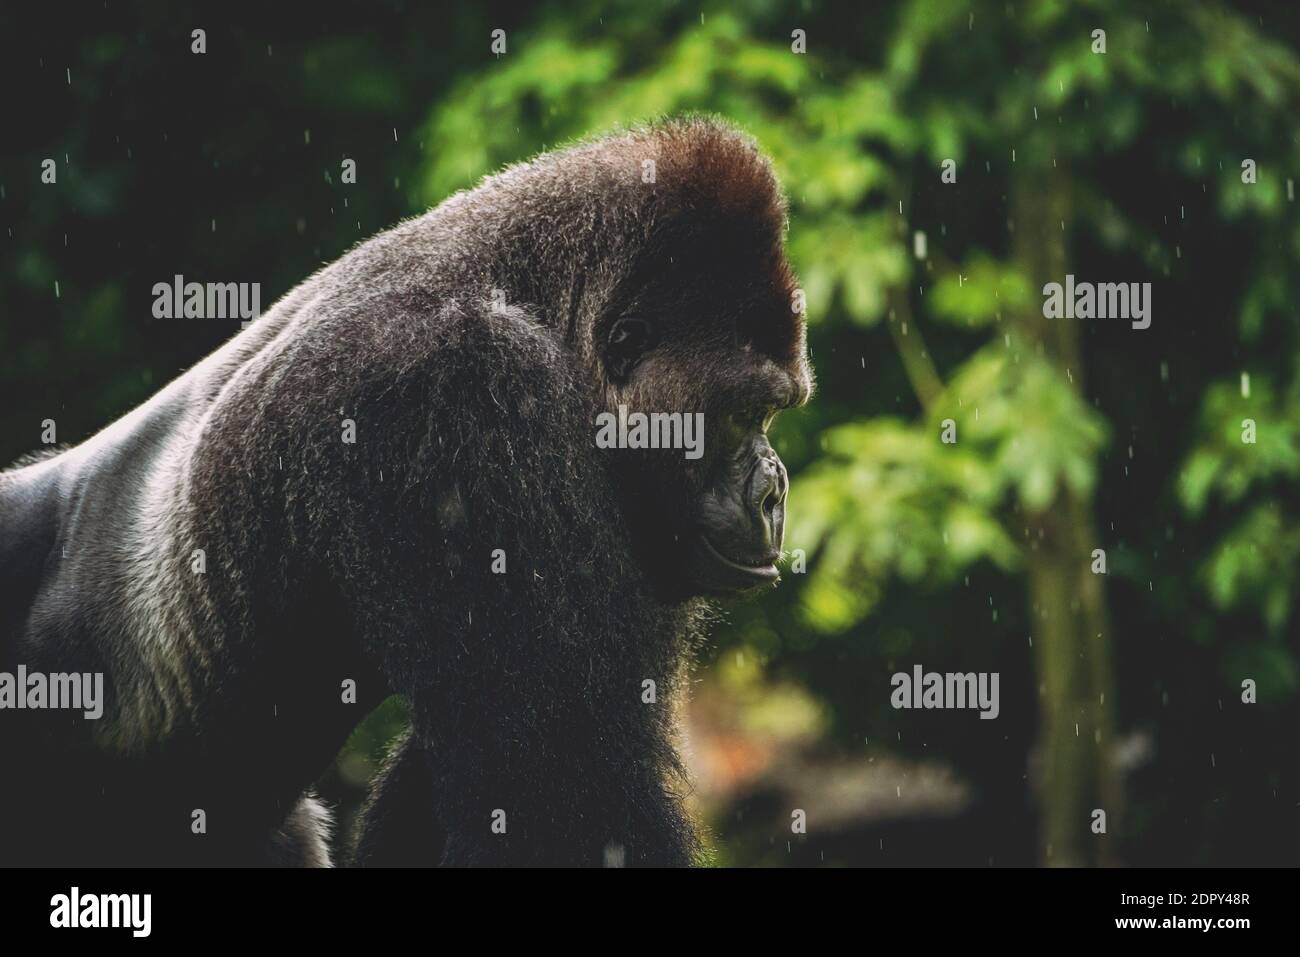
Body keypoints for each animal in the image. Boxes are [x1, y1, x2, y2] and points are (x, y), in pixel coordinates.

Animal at [0, 116, 813, 866]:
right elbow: (559, 797)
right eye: (743, 413)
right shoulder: (454, 385)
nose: (774, 491)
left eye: (777, 412)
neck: (530, 292)